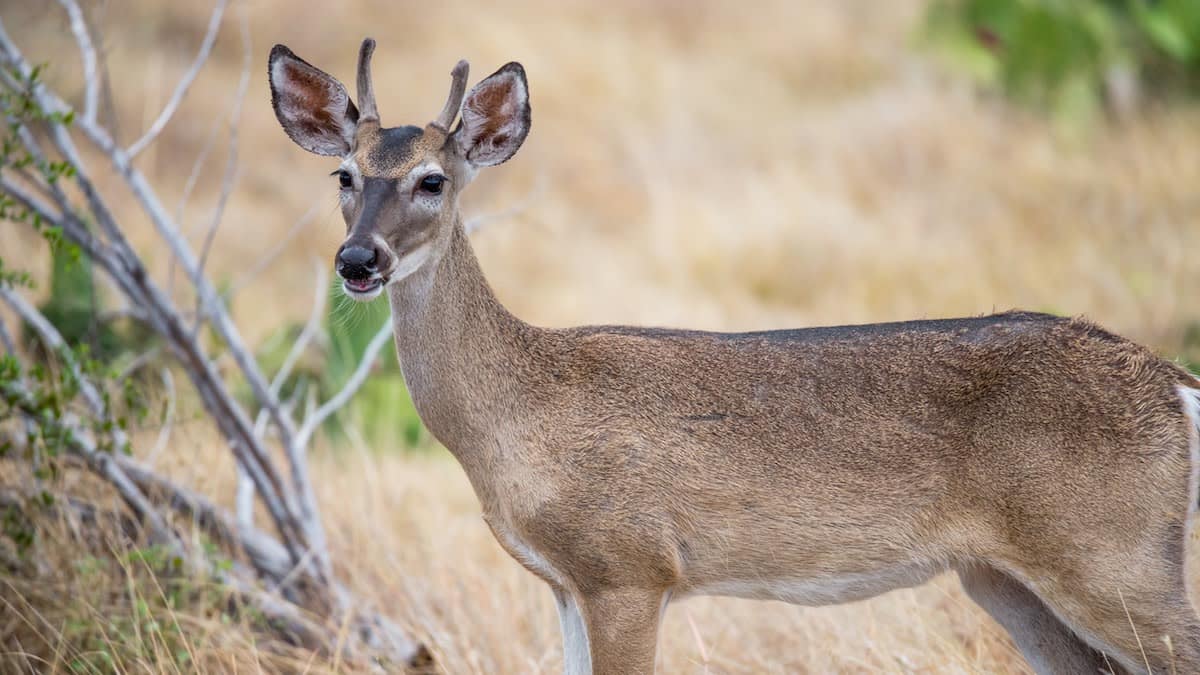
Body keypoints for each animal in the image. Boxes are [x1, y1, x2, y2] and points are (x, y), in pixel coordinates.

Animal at [267, 38, 1200, 675]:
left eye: (432, 180)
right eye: (343, 175)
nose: (358, 260)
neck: (517, 413)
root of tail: (1174, 382)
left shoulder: (630, 565)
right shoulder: (566, 581)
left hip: (1112, 553)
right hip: (1008, 578)